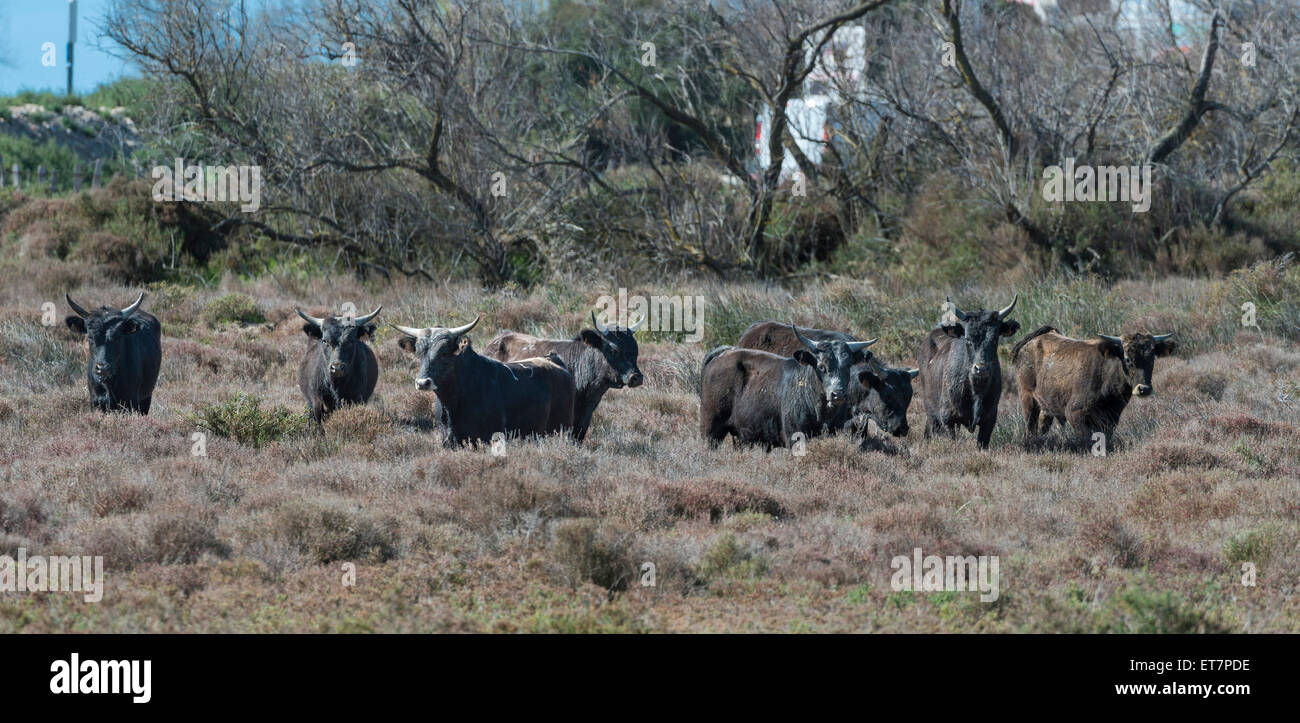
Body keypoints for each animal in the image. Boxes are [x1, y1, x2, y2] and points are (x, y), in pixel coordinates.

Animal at [699, 325, 880, 450]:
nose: (838, 394)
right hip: (710, 430)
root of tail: (724, 352)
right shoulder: (795, 436)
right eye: (821, 366)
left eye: (848, 366)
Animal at [916, 295, 1020, 448]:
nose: (981, 369)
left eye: (995, 338)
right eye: (967, 338)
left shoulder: (989, 419)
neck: (975, 389)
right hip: (931, 412)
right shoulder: (947, 418)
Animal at [1011, 326, 1176, 444]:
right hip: (1028, 400)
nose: (1144, 389)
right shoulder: (1074, 413)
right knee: (1030, 427)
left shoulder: (1111, 418)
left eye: (1152, 358)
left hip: (1046, 407)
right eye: (1127, 358)